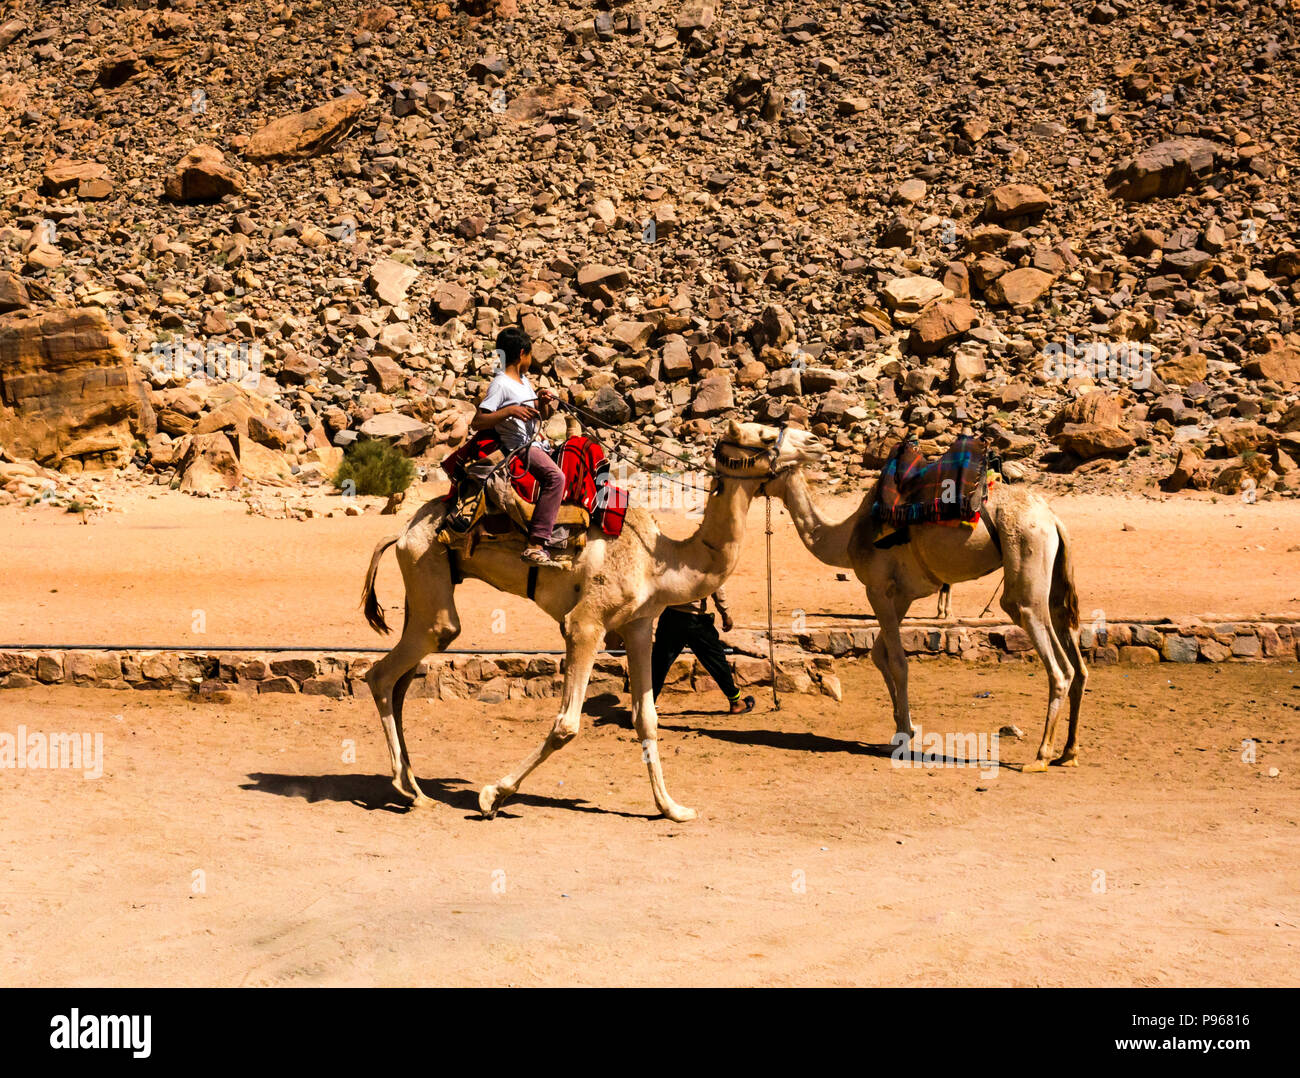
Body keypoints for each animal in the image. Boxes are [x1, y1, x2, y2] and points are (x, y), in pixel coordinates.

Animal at [360, 420, 826, 821]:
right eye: (763, 434)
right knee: (385, 672)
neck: (660, 562)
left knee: (400, 680)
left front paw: (672, 809)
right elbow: (567, 724)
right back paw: (410, 792)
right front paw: (492, 795)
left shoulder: (640, 625)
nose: (815, 442)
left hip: (423, 589)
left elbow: (647, 717)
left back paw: (412, 788)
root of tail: (401, 533)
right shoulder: (586, 623)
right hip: (428, 568)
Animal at [764, 463, 1087, 771]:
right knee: (1073, 650)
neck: (847, 535)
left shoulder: (877, 589)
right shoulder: (902, 596)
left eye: (765, 457)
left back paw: (1041, 756)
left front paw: (904, 735)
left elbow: (897, 662)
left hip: (1025, 548)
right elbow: (880, 654)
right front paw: (902, 728)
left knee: (1051, 653)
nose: (760, 482)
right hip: (1053, 567)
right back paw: (1068, 753)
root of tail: (1053, 520)